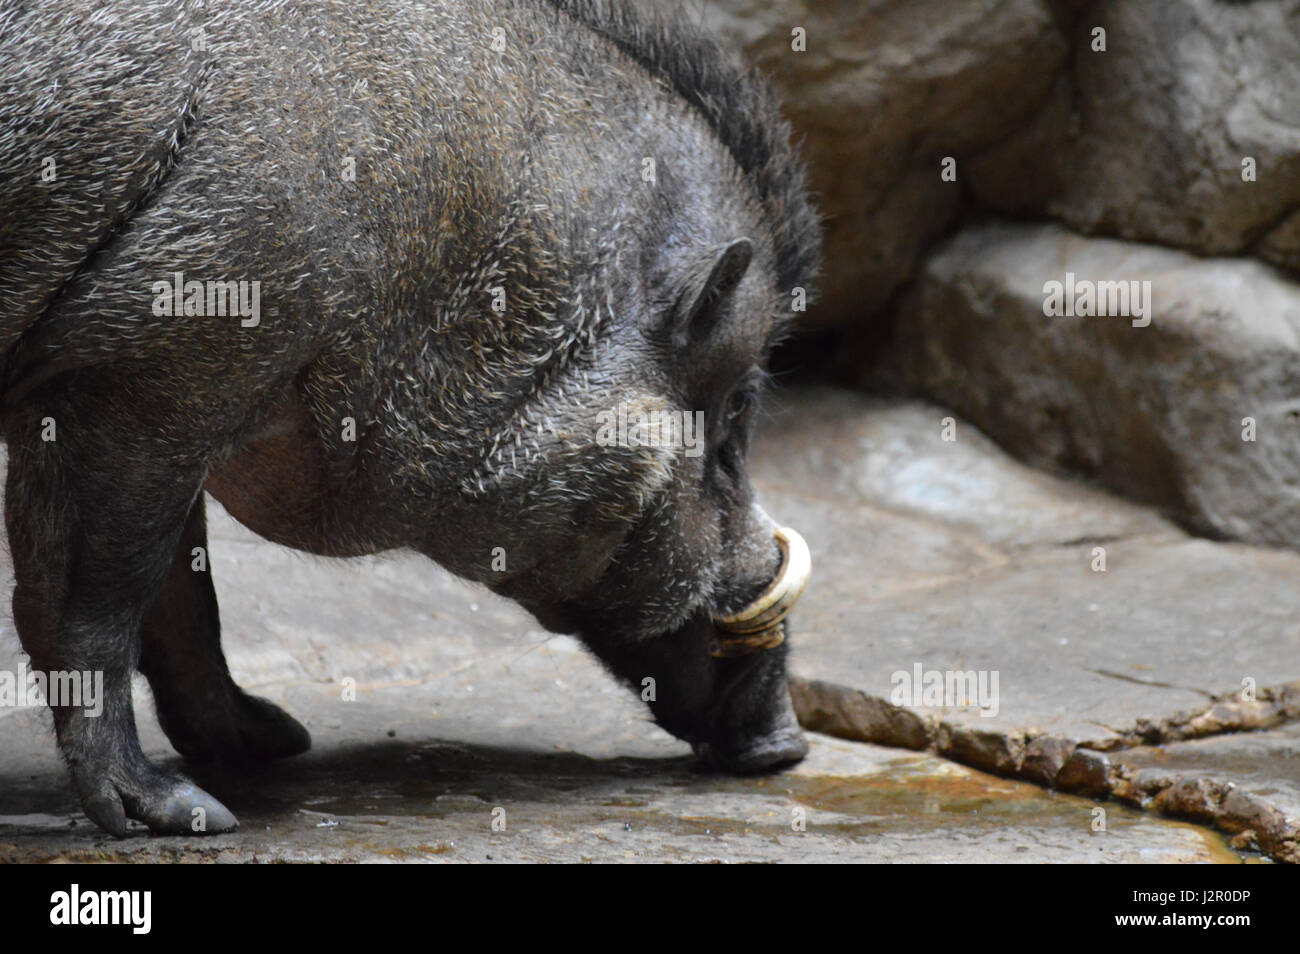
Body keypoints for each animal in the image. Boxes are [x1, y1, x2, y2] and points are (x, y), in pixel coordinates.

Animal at [0, 0, 820, 836]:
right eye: (736, 406)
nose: (786, 746)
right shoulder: (146, 379)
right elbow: (96, 600)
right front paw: (183, 813)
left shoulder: (176, 405)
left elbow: (188, 599)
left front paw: (273, 741)